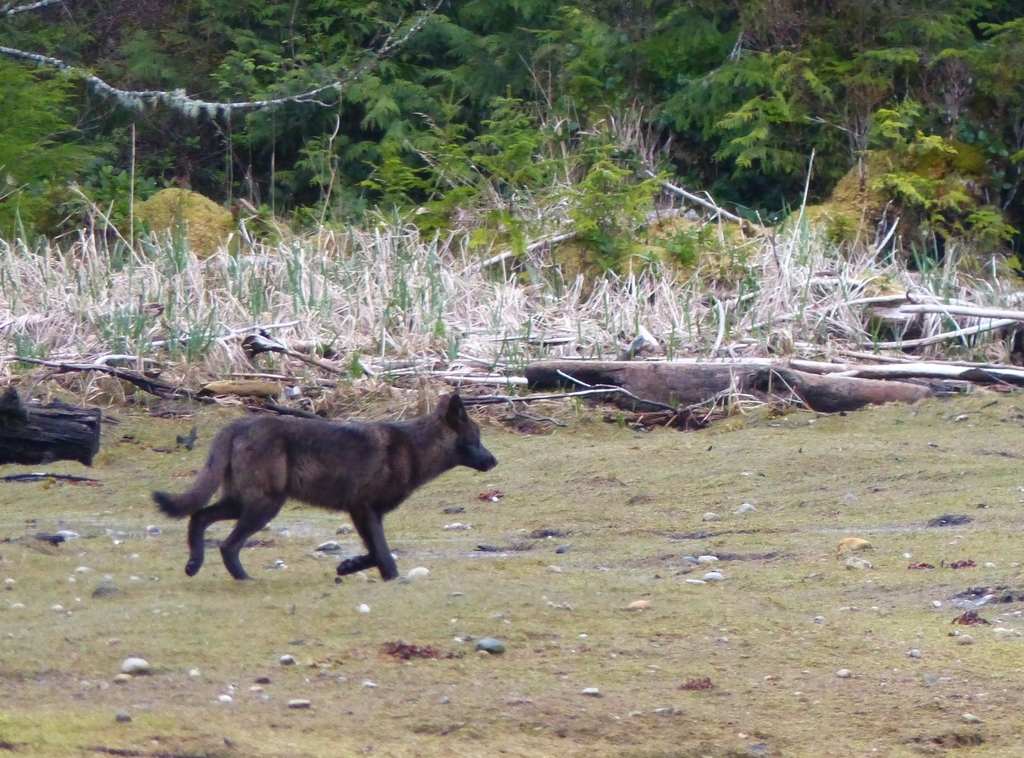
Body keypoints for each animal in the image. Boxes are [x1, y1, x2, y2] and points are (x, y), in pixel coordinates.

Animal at [152, 393, 497, 581]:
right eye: (478, 439)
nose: (494, 461)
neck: (415, 449)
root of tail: (239, 424)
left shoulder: (366, 513)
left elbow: (376, 552)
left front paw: (349, 566)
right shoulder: (364, 509)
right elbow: (383, 553)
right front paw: (391, 579)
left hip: (242, 503)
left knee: (198, 518)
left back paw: (194, 565)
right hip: (263, 507)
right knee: (227, 545)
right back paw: (245, 579)